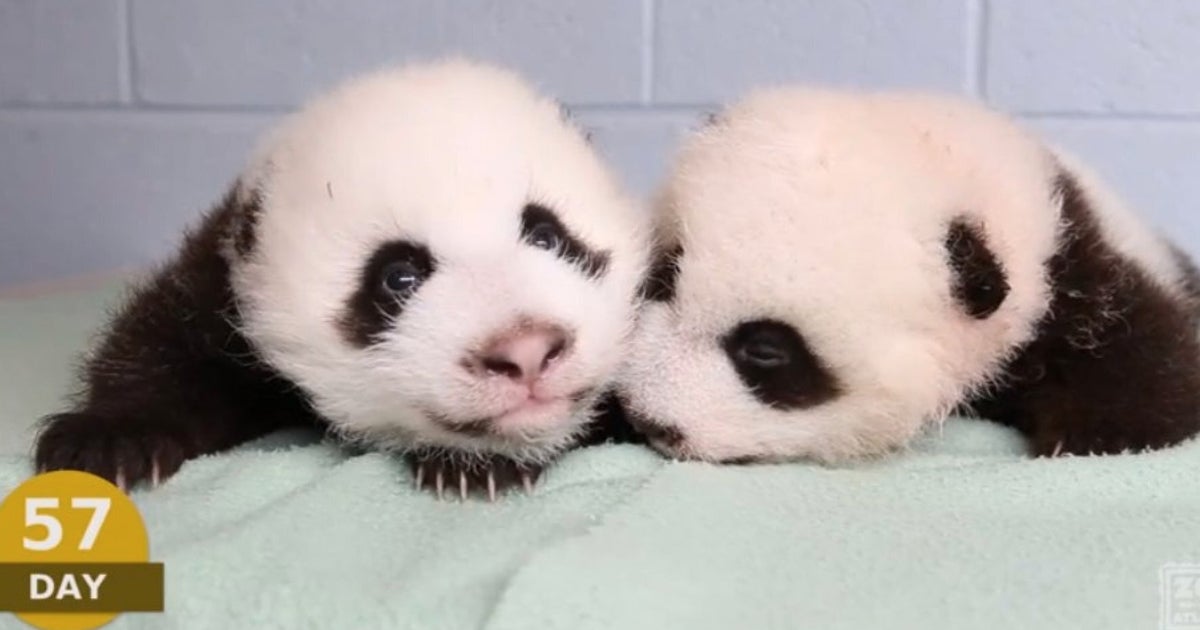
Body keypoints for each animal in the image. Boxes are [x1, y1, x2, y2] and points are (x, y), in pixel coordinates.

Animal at [33, 59, 651, 500]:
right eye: (398, 277)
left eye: (547, 236)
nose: (526, 351)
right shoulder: (227, 282)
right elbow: (167, 342)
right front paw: (104, 443)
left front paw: (476, 465)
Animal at [618, 87, 1200, 464]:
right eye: (666, 278)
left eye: (766, 350)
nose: (651, 421)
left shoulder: (1080, 276)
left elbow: (1146, 370)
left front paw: (1086, 441)